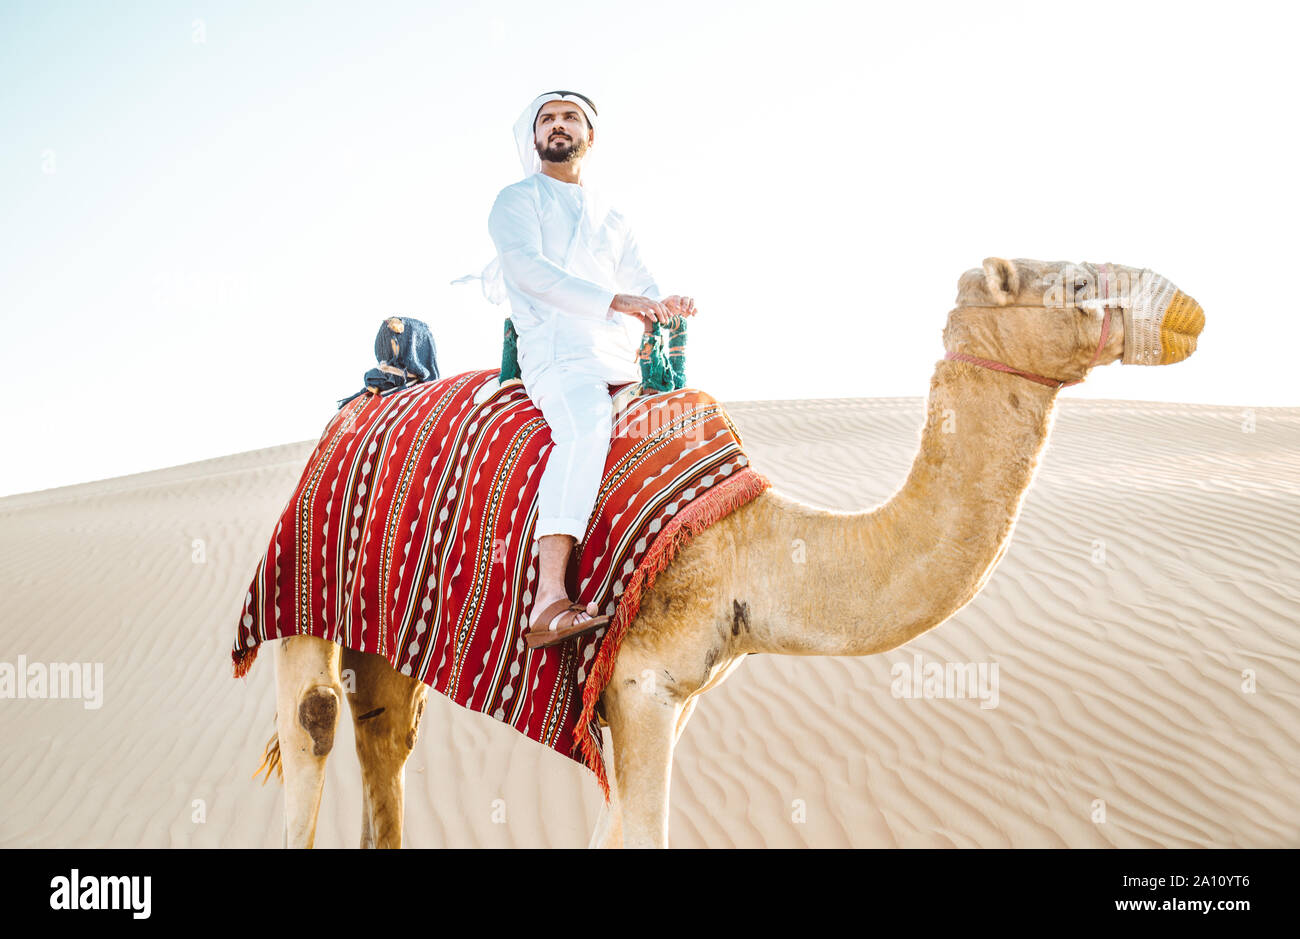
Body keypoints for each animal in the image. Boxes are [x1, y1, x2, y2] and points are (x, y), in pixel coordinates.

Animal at [256, 257, 1204, 848]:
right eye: (1076, 280)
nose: (1190, 312)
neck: (758, 546)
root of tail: (364, 398)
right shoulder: (638, 683)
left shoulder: (668, 695)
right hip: (303, 580)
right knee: (315, 719)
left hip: (385, 625)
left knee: (386, 731)